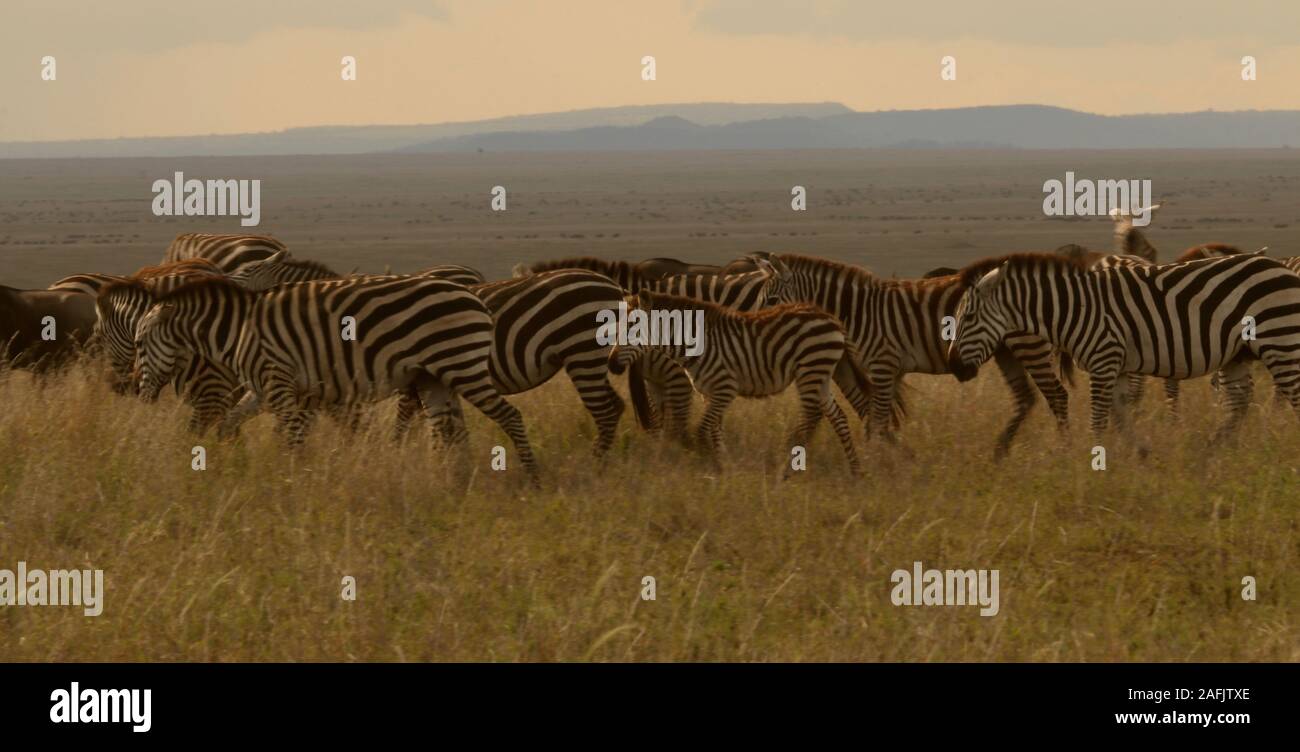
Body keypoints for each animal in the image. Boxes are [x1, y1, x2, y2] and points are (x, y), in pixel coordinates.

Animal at [132, 275, 538, 478]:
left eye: (138, 343)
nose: (139, 395)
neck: (238, 330)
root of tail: (473, 296)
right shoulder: (266, 389)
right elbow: (230, 424)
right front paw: (235, 460)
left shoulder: (279, 383)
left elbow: (291, 437)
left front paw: (293, 479)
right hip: (433, 377)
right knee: (449, 430)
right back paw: (451, 477)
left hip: (461, 365)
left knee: (509, 415)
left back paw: (531, 475)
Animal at [607, 291, 871, 478]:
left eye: (632, 328)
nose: (611, 365)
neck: (695, 341)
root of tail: (830, 318)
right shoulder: (709, 392)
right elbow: (715, 431)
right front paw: (723, 469)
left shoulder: (726, 388)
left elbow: (703, 429)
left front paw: (705, 460)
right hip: (822, 374)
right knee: (838, 417)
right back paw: (856, 470)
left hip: (810, 370)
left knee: (810, 417)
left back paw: (785, 470)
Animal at [759, 253, 1068, 457]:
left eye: (771, 300)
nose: (758, 326)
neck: (859, 310)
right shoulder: (890, 370)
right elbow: (879, 419)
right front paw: (897, 455)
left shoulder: (883, 364)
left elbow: (878, 419)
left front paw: (877, 460)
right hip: (1004, 350)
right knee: (1026, 398)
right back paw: (999, 452)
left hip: (1027, 344)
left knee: (1057, 395)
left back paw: (1062, 450)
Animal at [950, 252, 1300, 443]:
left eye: (968, 317)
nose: (954, 366)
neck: (1076, 309)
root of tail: (1283, 267)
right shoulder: (1116, 367)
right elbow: (1120, 418)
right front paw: (1139, 456)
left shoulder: (1103, 360)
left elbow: (1099, 421)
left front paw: (1093, 468)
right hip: (1239, 354)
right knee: (1239, 404)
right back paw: (1210, 454)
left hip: (1280, 342)